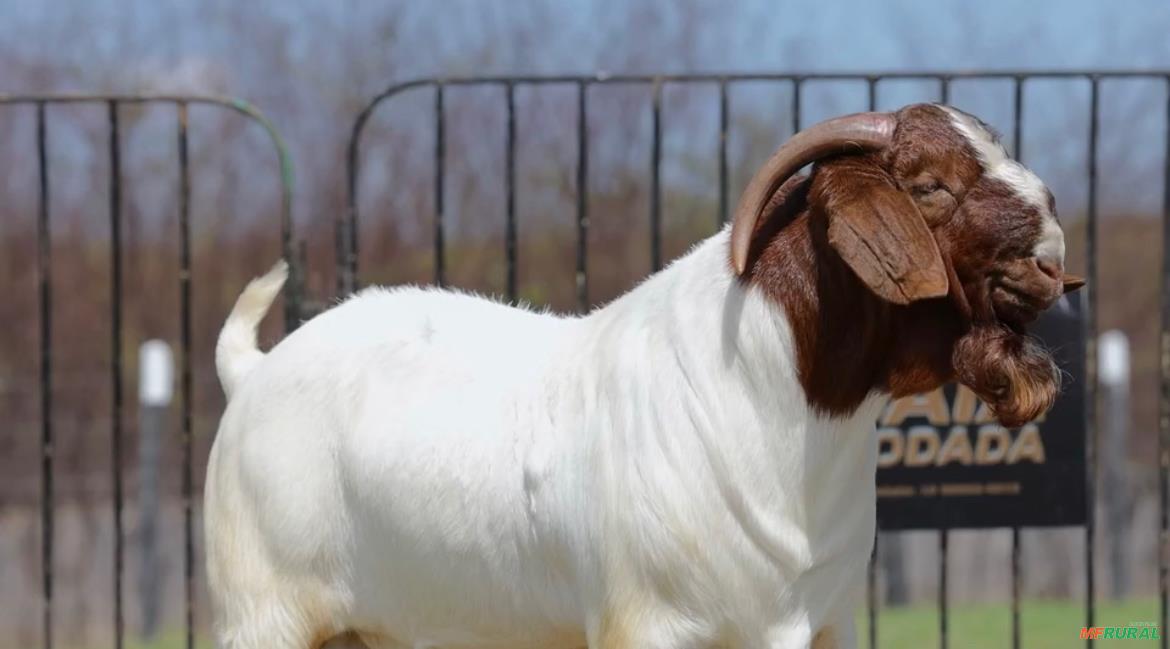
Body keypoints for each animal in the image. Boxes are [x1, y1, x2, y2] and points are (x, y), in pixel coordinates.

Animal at [205, 103, 1083, 649]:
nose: (1052, 262)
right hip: (265, 614)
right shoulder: (651, 622)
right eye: (929, 185)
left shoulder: (826, 622)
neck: (764, 396)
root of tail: (252, 372)